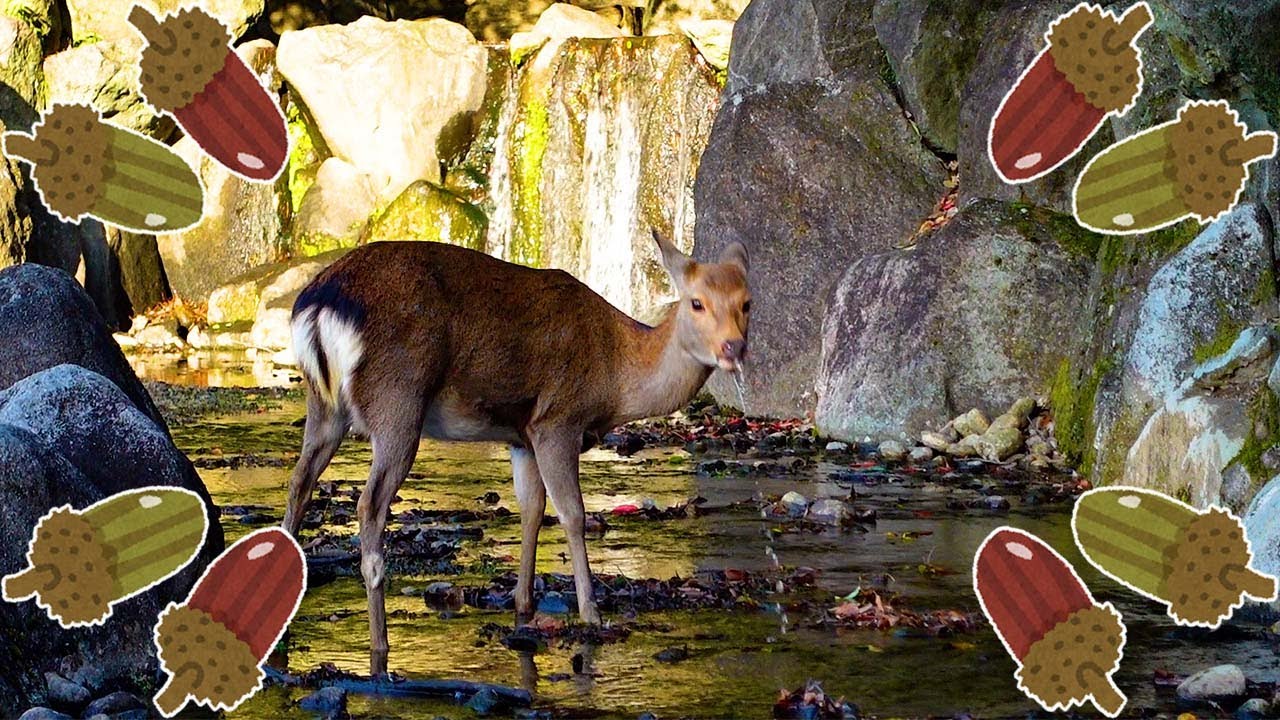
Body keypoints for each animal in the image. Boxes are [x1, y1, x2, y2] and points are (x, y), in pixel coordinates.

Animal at [280, 232, 750, 676]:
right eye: (696, 303)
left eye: (747, 302)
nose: (733, 347)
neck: (616, 378)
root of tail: (317, 305)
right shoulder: (556, 420)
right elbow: (572, 513)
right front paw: (591, 614)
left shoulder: (521, 437)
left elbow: (531, 508)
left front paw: (523, 601)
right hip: (397, 399)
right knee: (369, 505)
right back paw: (380, 645)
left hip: (325, 406)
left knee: (300, 483)